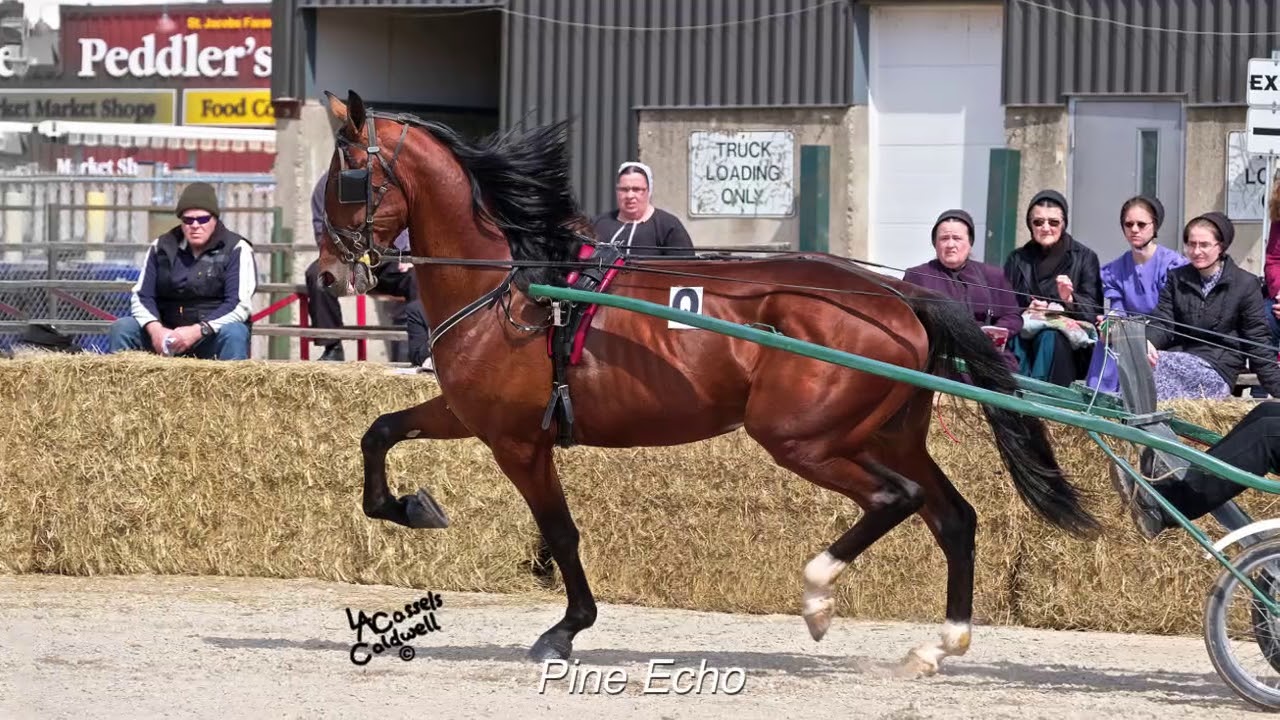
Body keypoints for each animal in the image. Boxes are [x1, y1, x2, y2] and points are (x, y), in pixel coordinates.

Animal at [315, 89, 1100, 675]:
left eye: (348, 177)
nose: (324, 273)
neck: (521, 287)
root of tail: (900, 295)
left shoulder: (515, 440)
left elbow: (562, 532)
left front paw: (567, 627)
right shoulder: (470, 414)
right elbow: (378, 432)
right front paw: (409, 506)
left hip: (801, 437)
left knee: (894, 499)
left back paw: (818, 594)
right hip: (888, 433)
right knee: (954, 517)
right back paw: (940, 643)